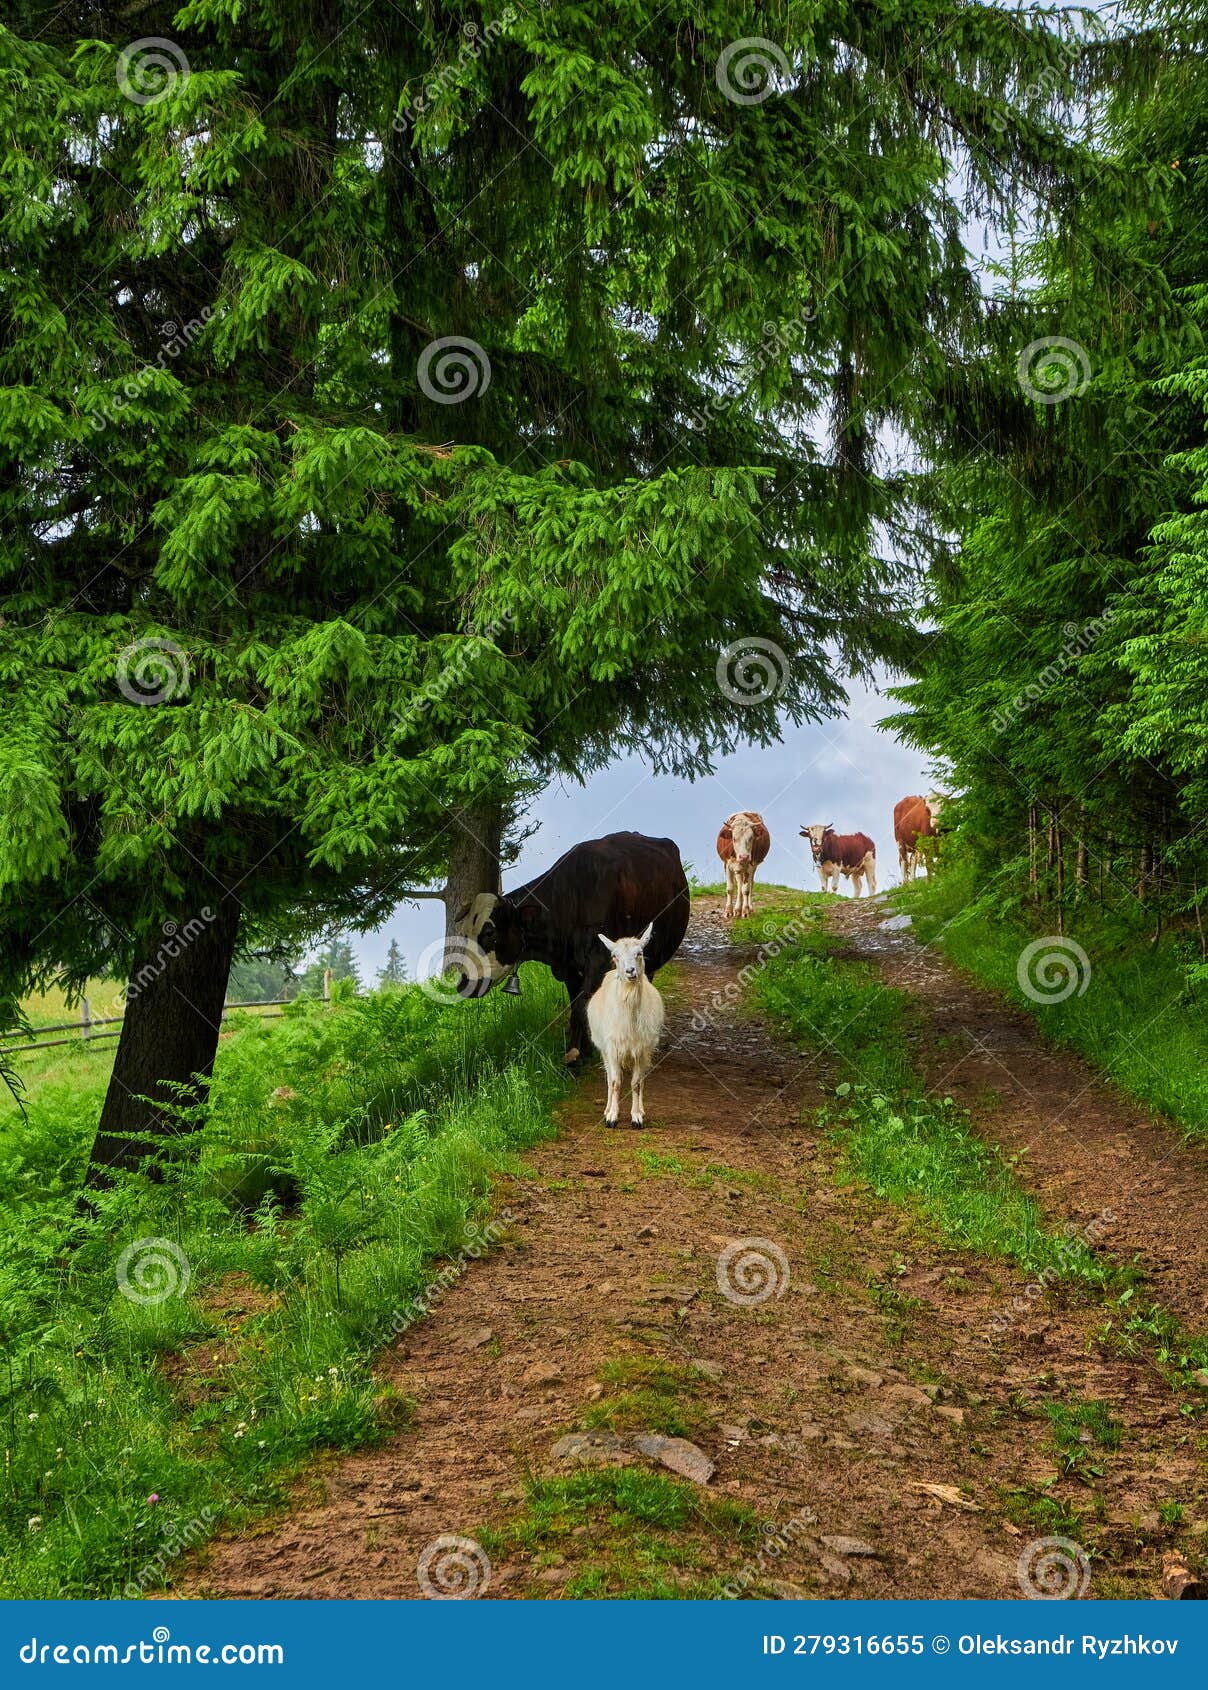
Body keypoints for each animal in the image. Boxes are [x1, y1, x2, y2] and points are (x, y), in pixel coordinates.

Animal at [453, 831, 690, 1064]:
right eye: (464, 933)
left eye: (490, 933)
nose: (464, 983)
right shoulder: (569, 968)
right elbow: (577, 1002)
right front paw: (584, 1050)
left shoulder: (598, 960)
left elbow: (581, 1006)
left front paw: (574, 1054)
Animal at [586, 923, 665, 1128]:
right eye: (615, 956)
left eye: (640, 953)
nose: (630, 971)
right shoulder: (612, 1046)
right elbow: (615, 1082)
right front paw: (612, 1117)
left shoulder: (642, 1048)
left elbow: (636, 1083)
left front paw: (636, 1117)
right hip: (603, 1048)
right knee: (608, 1077)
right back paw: (607, 1109)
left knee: (642, 1079)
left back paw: (641, 1110)